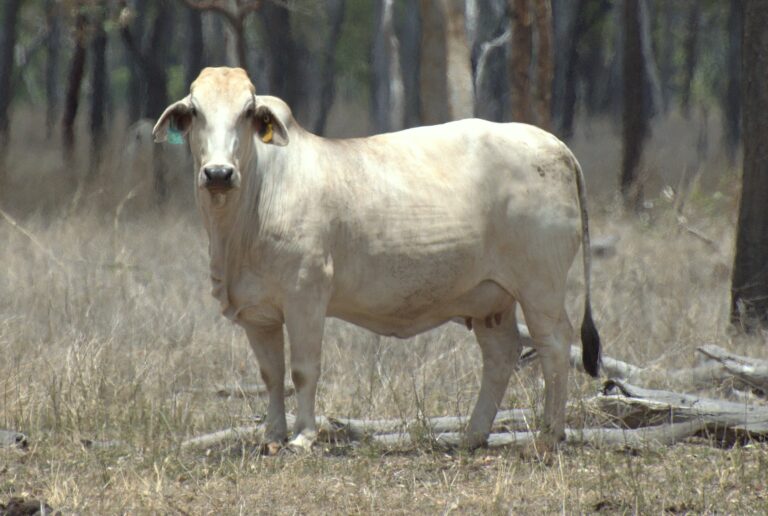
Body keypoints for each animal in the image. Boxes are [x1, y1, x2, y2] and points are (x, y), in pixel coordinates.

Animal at [153, 67, 601, 454]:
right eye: (195, 111)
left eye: (247, 111)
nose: (218, 173)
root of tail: (556, 146)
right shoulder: (257, 313)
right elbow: (272, 375)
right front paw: (272, 436)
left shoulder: (305, 297)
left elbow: (302, 370)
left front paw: (303, 437)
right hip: (491, 298)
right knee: (501, 355)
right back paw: (472, 435)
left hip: (540, 286)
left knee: (554, 344)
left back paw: (548, 435)